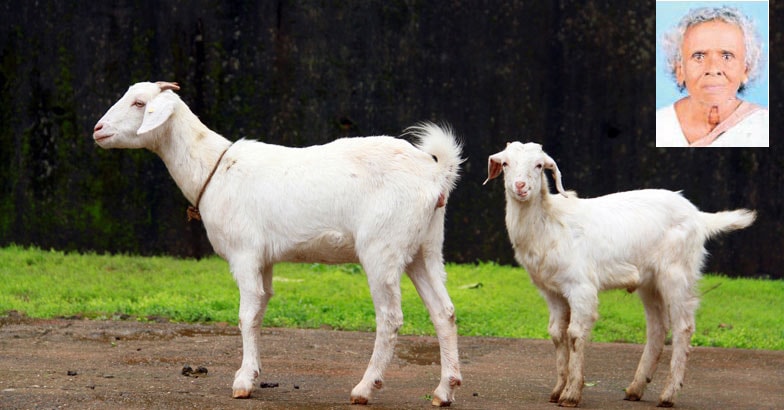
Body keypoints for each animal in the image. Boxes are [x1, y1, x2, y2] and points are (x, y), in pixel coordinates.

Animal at [93, 81, 464, 406]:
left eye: (140, 103)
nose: (98, 129)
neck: (215, 168)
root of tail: (435, 174)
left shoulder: (243, 254)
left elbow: (245, 314)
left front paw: (243, 382)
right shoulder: (264, 259)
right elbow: (259, 311)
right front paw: (253, 374)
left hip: (382, 247)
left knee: (390, 317)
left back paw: (365, 388)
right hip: (425, 248)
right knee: (443, 311)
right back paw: (445, 390)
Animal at [484, 142, 755, 407]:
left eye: (539, 165)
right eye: (505, 163)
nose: (520, 186)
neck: (550, 222)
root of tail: (699, 217)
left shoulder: (581, 286)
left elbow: (574, 335)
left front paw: (571, 393)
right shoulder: (552, 292)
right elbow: (557, 335)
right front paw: (557, 389)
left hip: (677, 272)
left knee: (683, 327)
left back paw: (668, 395)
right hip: (649, 282)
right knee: (657, 328)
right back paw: (635, 388)